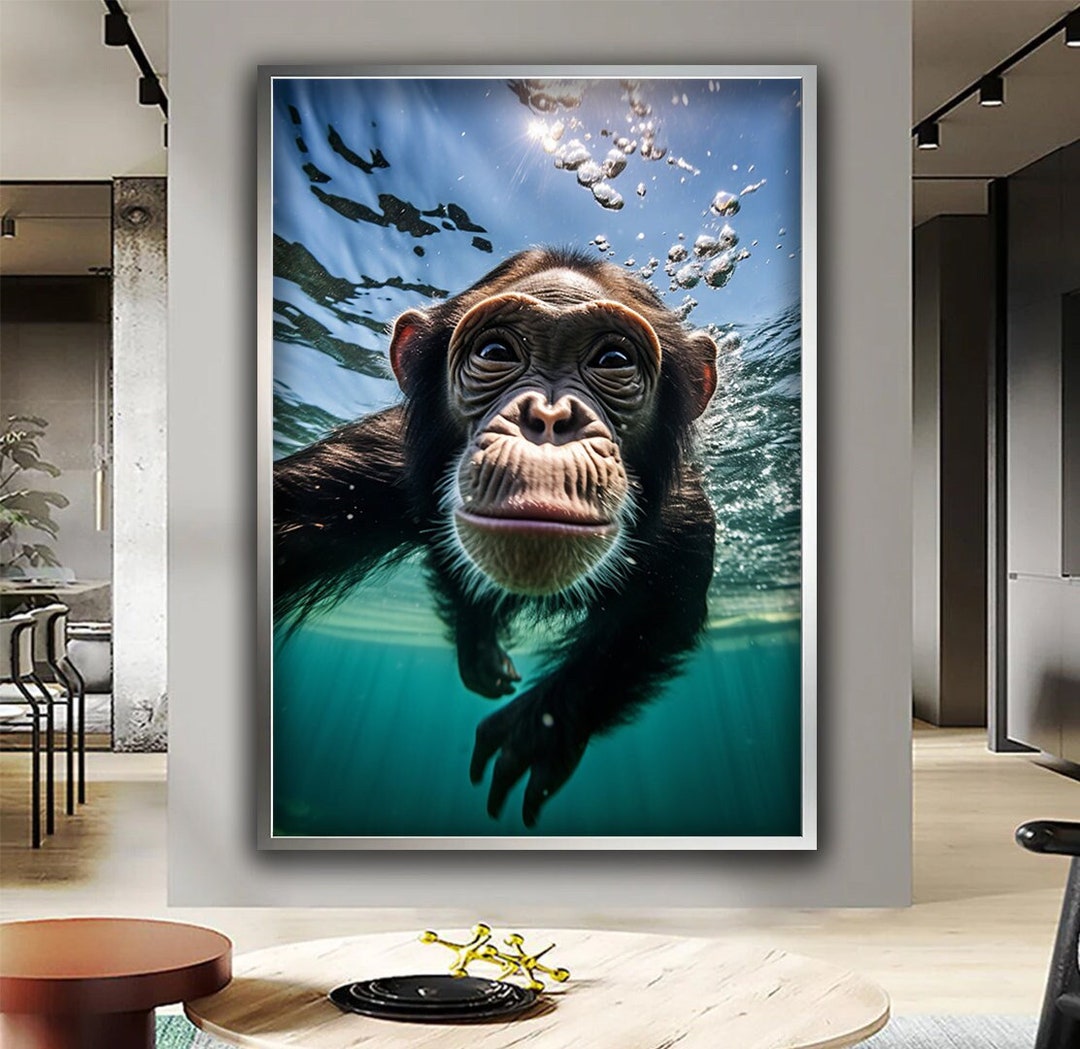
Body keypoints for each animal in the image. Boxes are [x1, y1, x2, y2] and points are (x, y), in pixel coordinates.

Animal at [274, 247, 718, 827]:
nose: (549, 417)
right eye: (495, 352)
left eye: (613, 361)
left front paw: (540, 729)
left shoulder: (688, 528)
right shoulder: (362, 469)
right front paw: (481, 648)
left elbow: (654, 619)